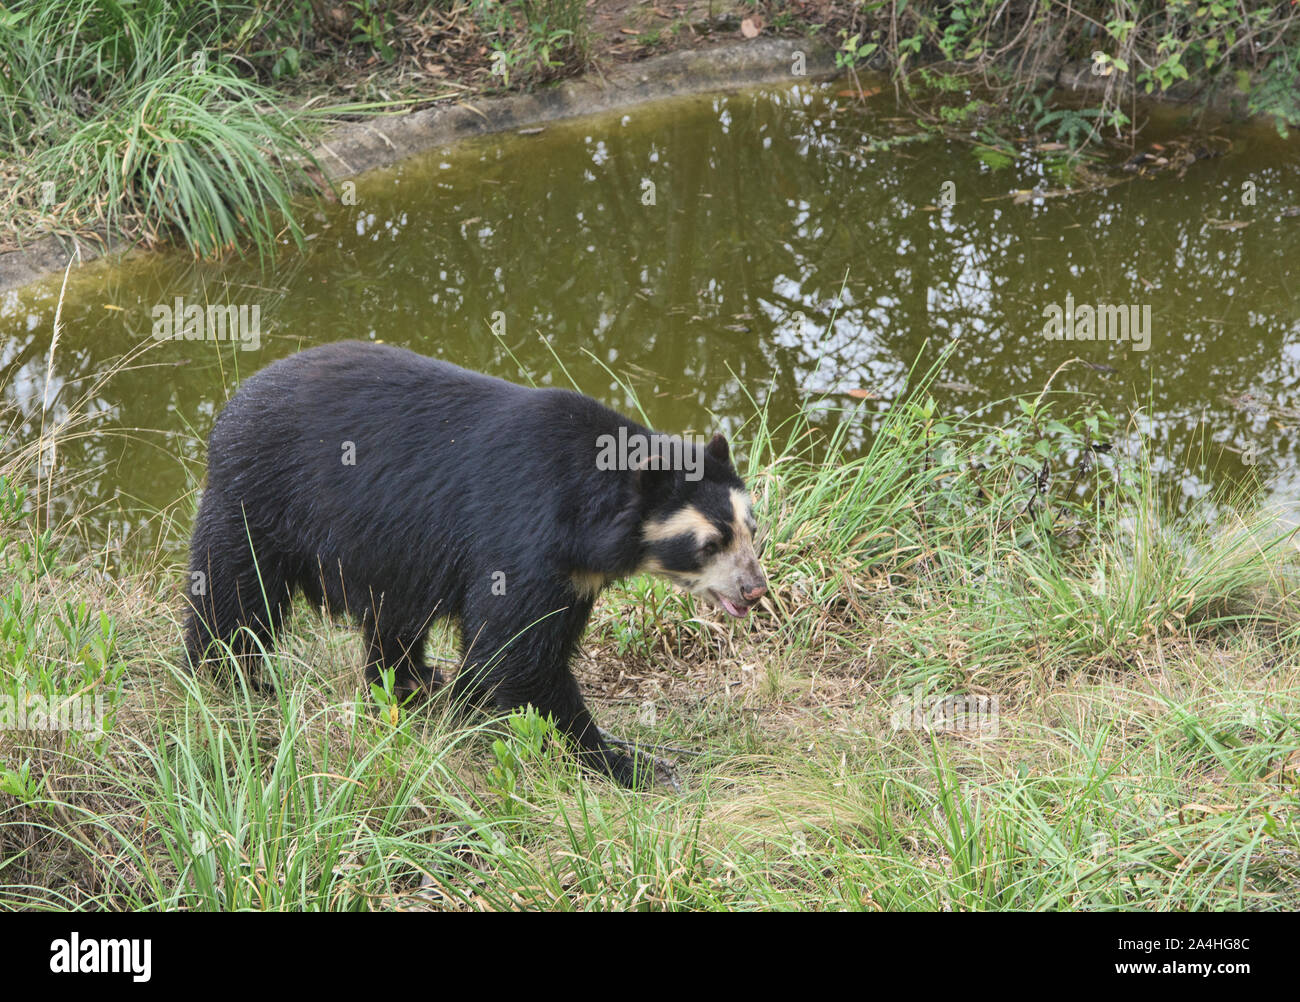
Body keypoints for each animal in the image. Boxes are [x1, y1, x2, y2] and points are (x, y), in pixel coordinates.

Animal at [183, 340, 768, 788]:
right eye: (709, 544)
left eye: (752, 531)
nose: (755, 590)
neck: (587, 522)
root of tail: (234, 403)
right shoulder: (520, 538)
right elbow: (515, 652)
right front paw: (619, 763)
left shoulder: (572, 576)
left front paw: (465, 703)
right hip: (258, 500)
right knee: (234, 594)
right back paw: (233, 680)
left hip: (385, 546)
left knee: (391, 618)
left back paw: (413, 681)